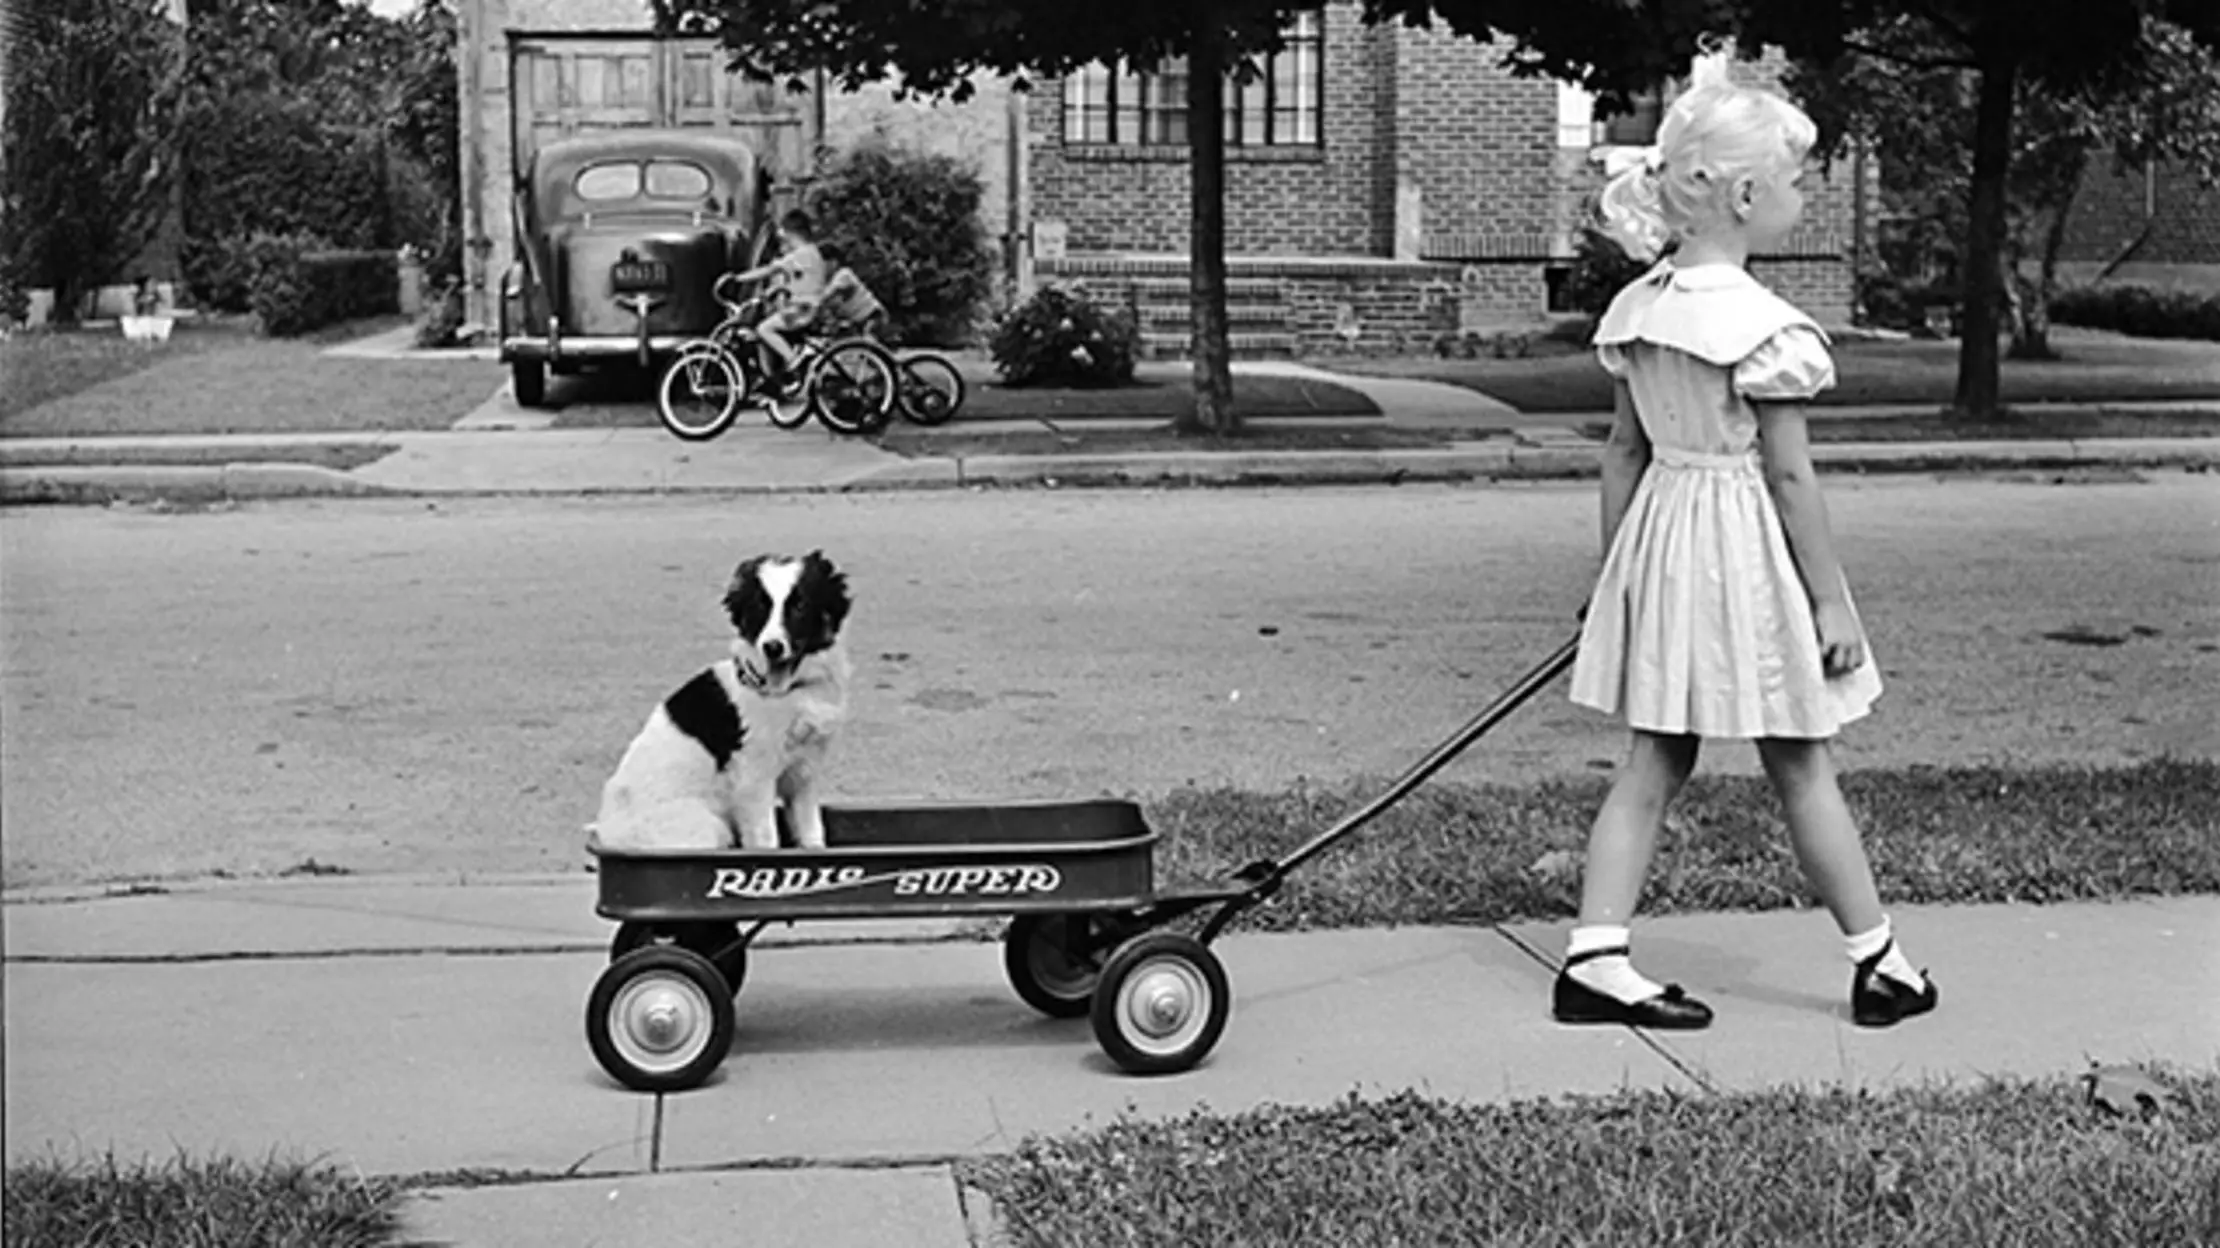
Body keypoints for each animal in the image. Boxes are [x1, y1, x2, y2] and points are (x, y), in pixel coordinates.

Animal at [594, 548, 852, 848]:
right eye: (760, 608)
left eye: (800, 606)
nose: (772, 647)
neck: (793, 690)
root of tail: (605, 832)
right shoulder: (754, 778)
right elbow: (766, 839)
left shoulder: (805, 773)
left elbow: (812, 834)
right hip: (707, 828)